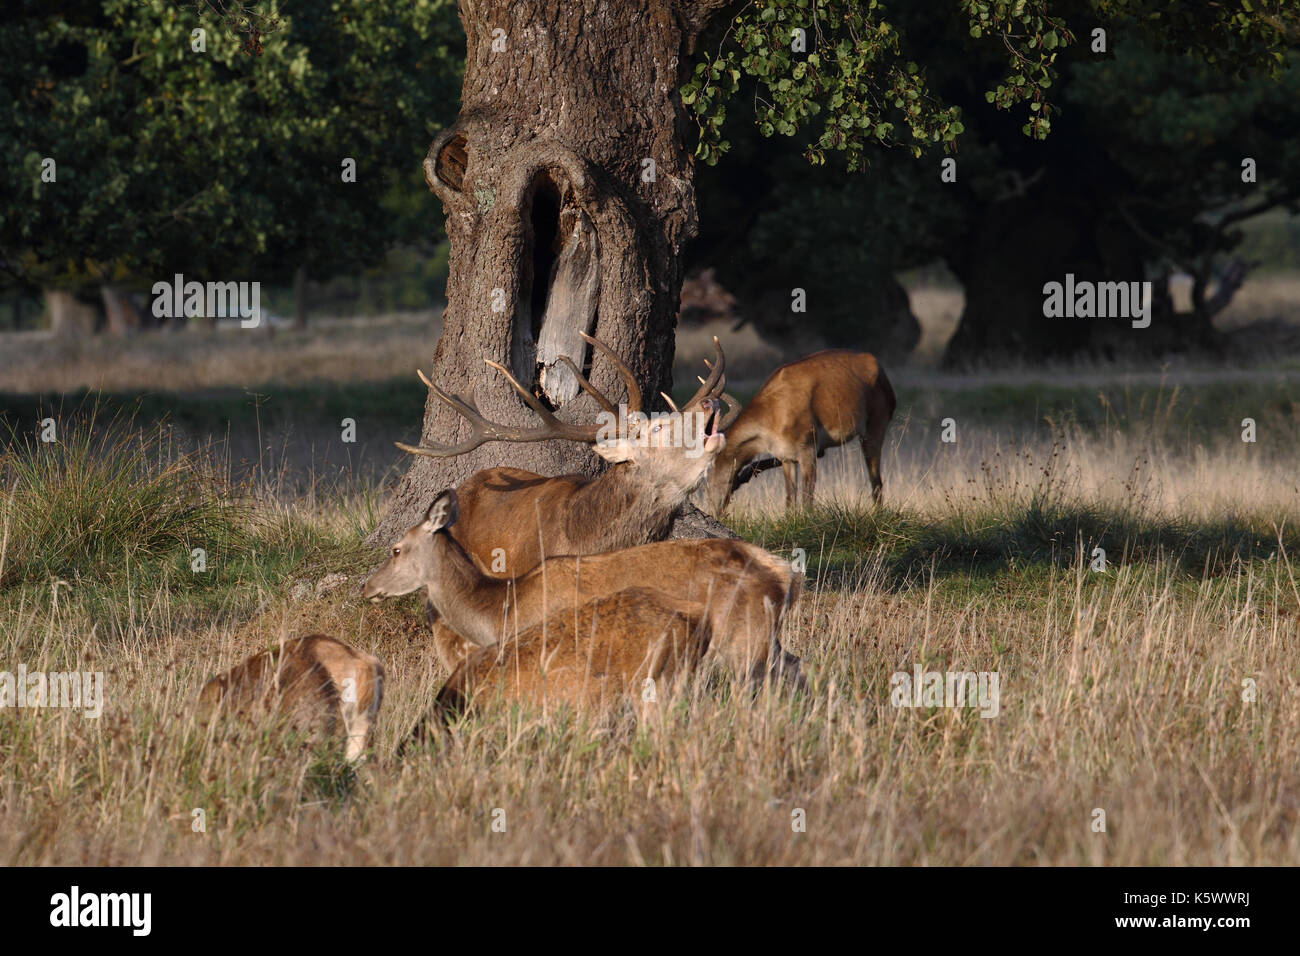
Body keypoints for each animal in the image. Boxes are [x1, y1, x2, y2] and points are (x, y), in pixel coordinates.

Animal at [362, 489, 803, 688]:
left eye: (396, 549)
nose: (367, 586)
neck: (504, 611)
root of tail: (785, 574)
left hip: (742, 638)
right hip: (765, 637)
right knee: (796, 665)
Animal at [702, 349, 896, 515]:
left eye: (706, 472)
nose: (715, 512)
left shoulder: (807, 448)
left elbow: (807, 500)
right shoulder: (786, 456)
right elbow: (790, 498)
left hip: (875, 427)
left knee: (877, 482)